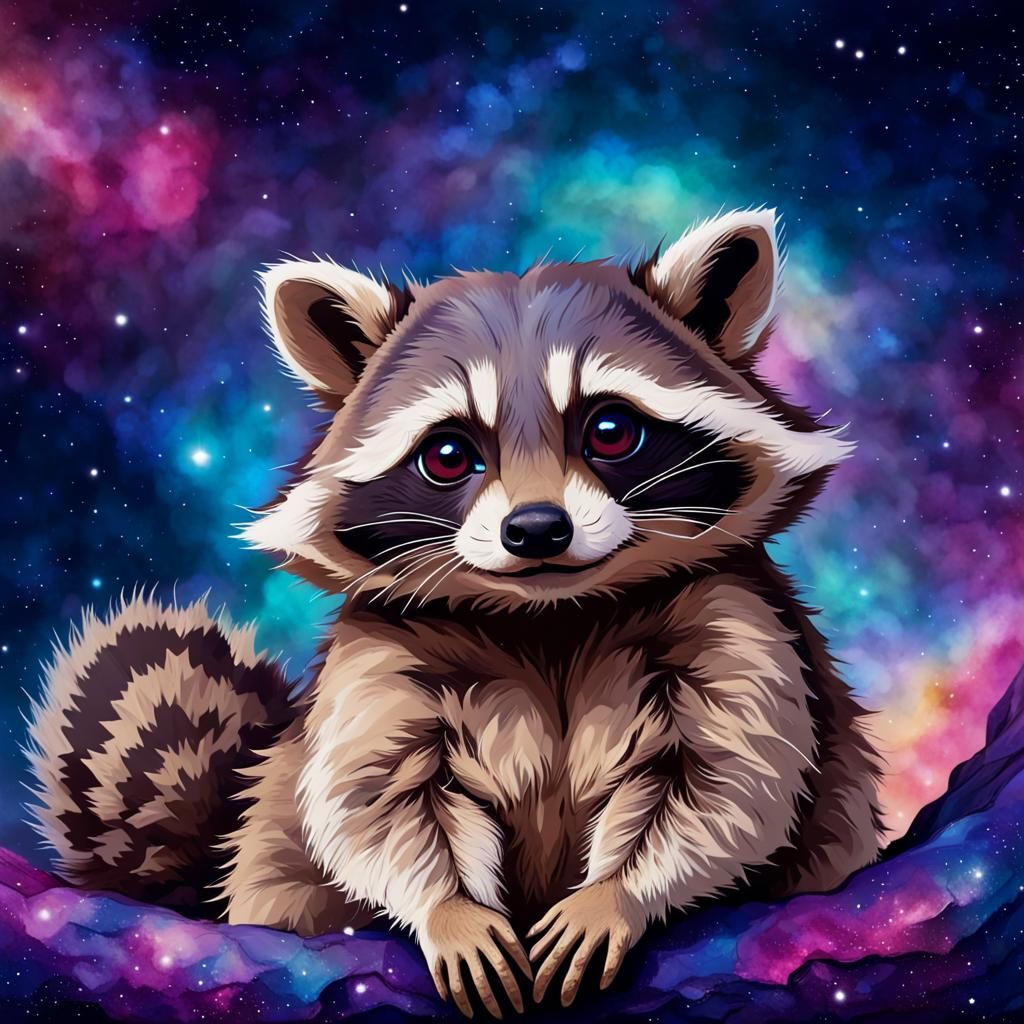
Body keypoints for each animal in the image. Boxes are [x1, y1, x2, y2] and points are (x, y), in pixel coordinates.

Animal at [27, 209, 882, 1016]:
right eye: (447, 454)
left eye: (610, 430)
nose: (536, 530)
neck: (552, 615)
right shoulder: (378, 655)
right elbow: (373, 802)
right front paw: (448, 909)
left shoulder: (737, 619)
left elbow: (729, 783)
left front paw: (616, 895)